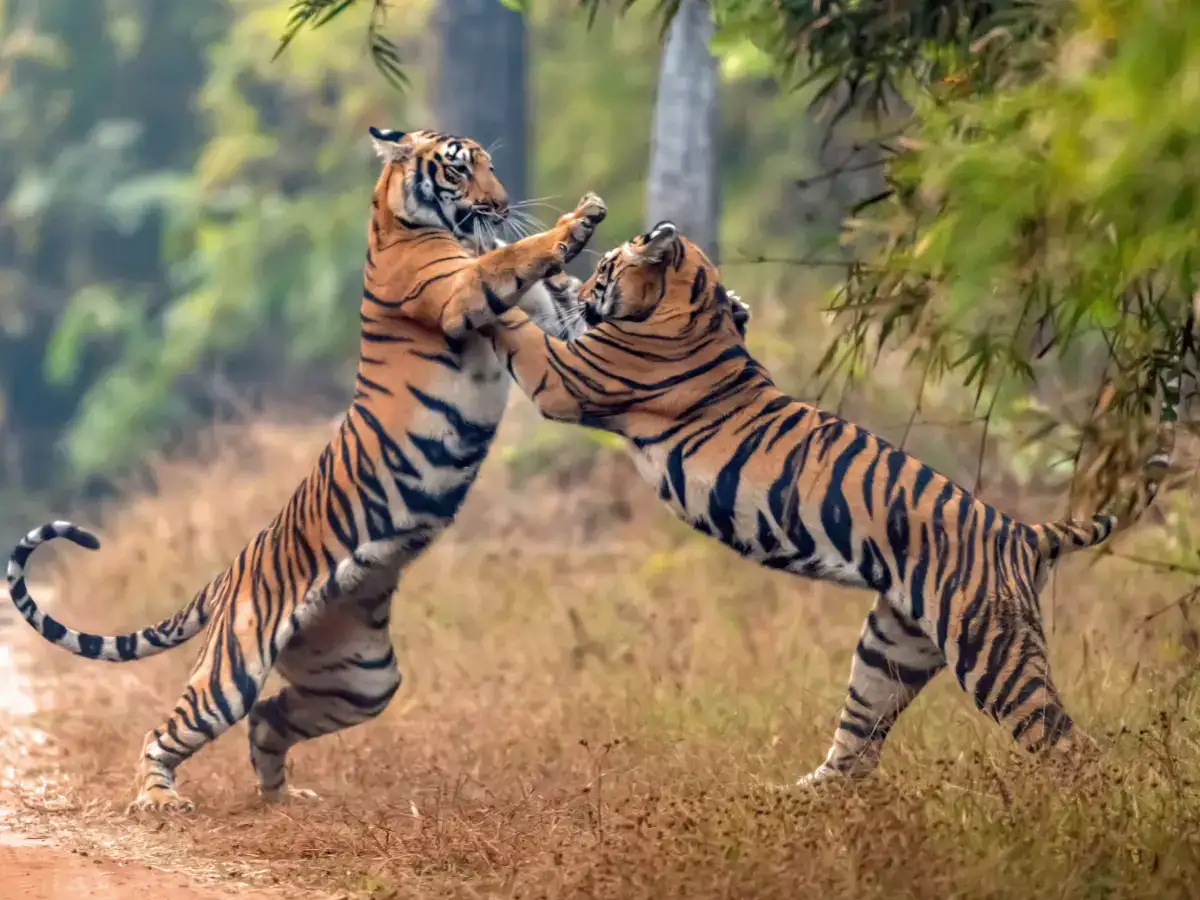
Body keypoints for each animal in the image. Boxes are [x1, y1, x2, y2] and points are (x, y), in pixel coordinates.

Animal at [4, 126, 606, 814]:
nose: (501, 205)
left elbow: (560, 299)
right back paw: (160, 800)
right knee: (170, 730)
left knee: (269, 717)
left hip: (363, 677)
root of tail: (226, 576)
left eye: (489, 165)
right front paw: (576, 222)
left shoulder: (545, 316)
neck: (401, 222)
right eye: (460, 170)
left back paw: (283, 798)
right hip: (232, 668)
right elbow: (509, 261)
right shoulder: (459, 294)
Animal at [476, 220, 1187, 785]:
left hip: (994, 653)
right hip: (890, 647)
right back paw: (782, 802)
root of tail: (1022, 532)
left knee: (1066, 744)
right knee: (856, 754)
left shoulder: (565, 378)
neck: (695, 306)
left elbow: (520, 324)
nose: (585, 283)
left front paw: (487, 269)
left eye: (606, 268)